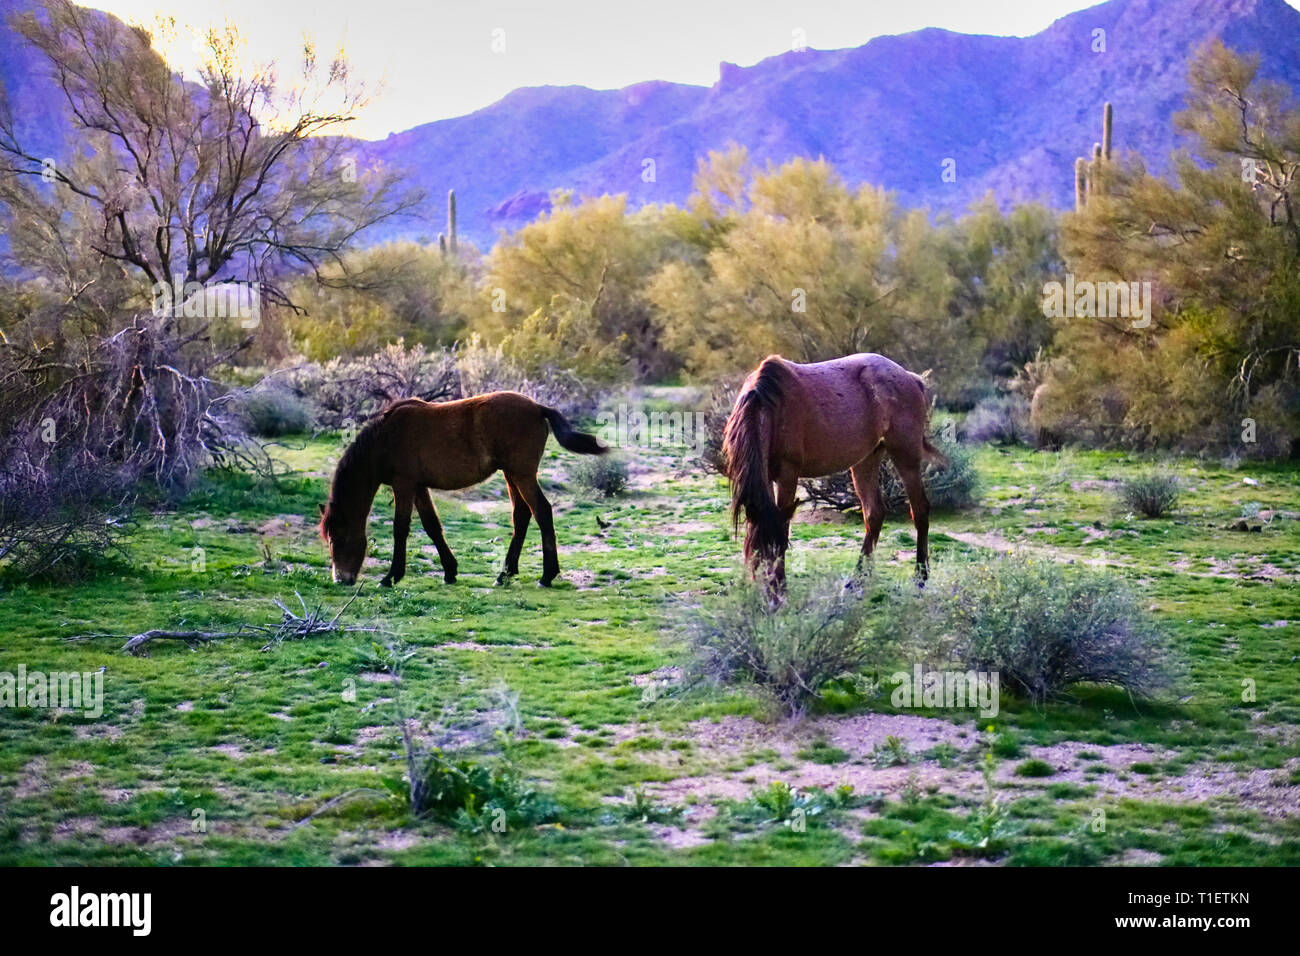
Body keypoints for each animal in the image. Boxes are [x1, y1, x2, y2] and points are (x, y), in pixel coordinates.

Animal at [319, 392, 607, 588]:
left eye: (339, 539)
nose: (340, 579)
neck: (385, 438)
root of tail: (538, 407)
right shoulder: (419, 487)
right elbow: (432, 526)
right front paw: (450, 571)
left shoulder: (404, 486)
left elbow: (400, 529)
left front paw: (391, 576)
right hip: (511, 475)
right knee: (522, 515)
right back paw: (505, 573)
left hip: (522, 475)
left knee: (542, 512)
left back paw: (546, 575)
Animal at [722, 353, 946, 590]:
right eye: (757, 550)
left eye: (781, 547)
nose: (774, 594)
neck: (770, 406)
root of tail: (911, 377)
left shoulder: (788, 474)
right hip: (866, 460)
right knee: (874, 513)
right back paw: (857, 579)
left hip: (905, 456)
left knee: (919, 510)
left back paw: (920, 576)